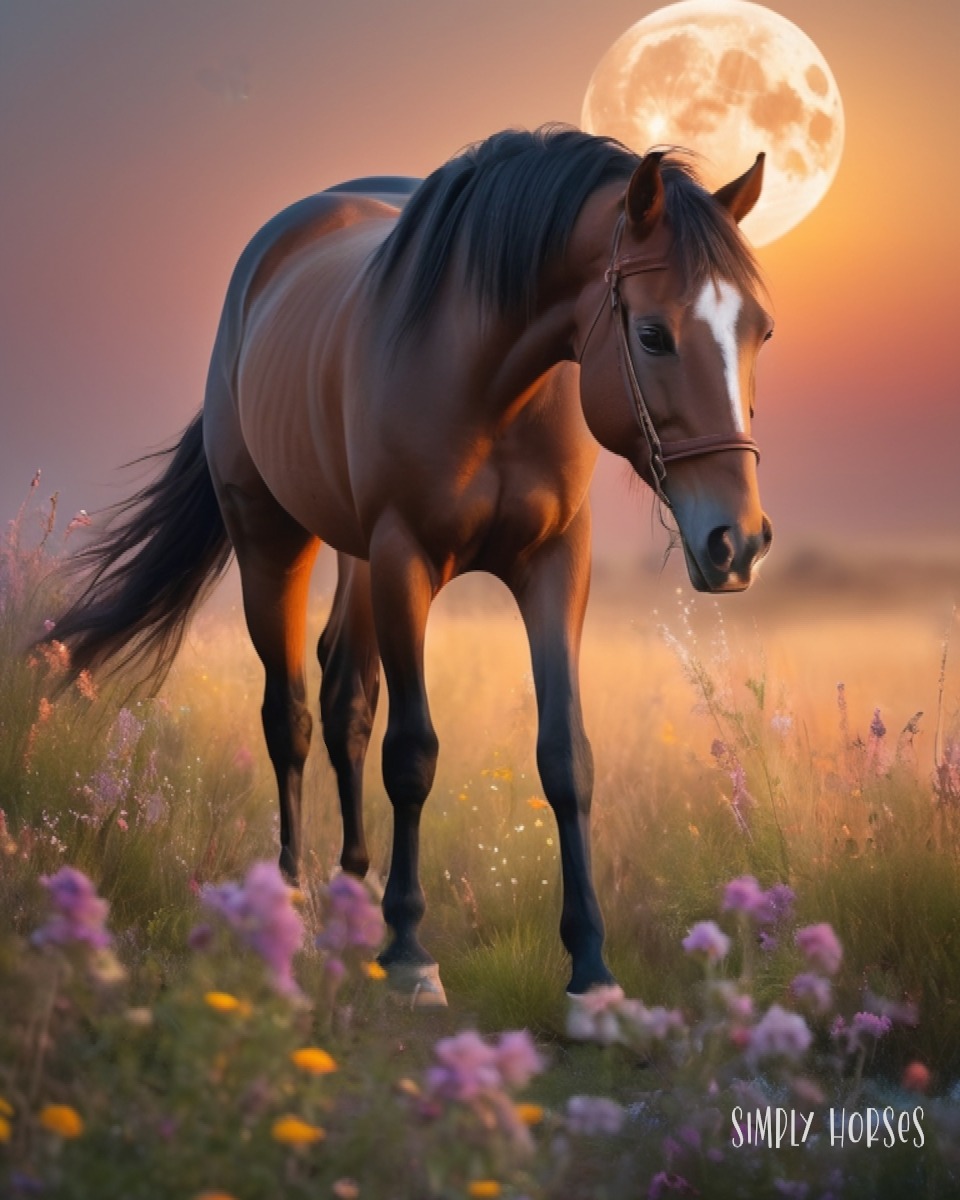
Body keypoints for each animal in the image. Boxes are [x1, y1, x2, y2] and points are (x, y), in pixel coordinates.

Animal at [48, 127, 774, 1003]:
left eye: (761, 332)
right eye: (654, 335)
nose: (736, 543)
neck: (493, 381)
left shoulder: (555, 564)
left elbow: (565, 756)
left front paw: (591, 966)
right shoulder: (406, 560)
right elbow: (413, 753)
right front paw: (407, 952)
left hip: (356, 559)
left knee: (345, 700)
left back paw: (351, 893)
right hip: (275, 542)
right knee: (291, 715)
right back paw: (292, 899)